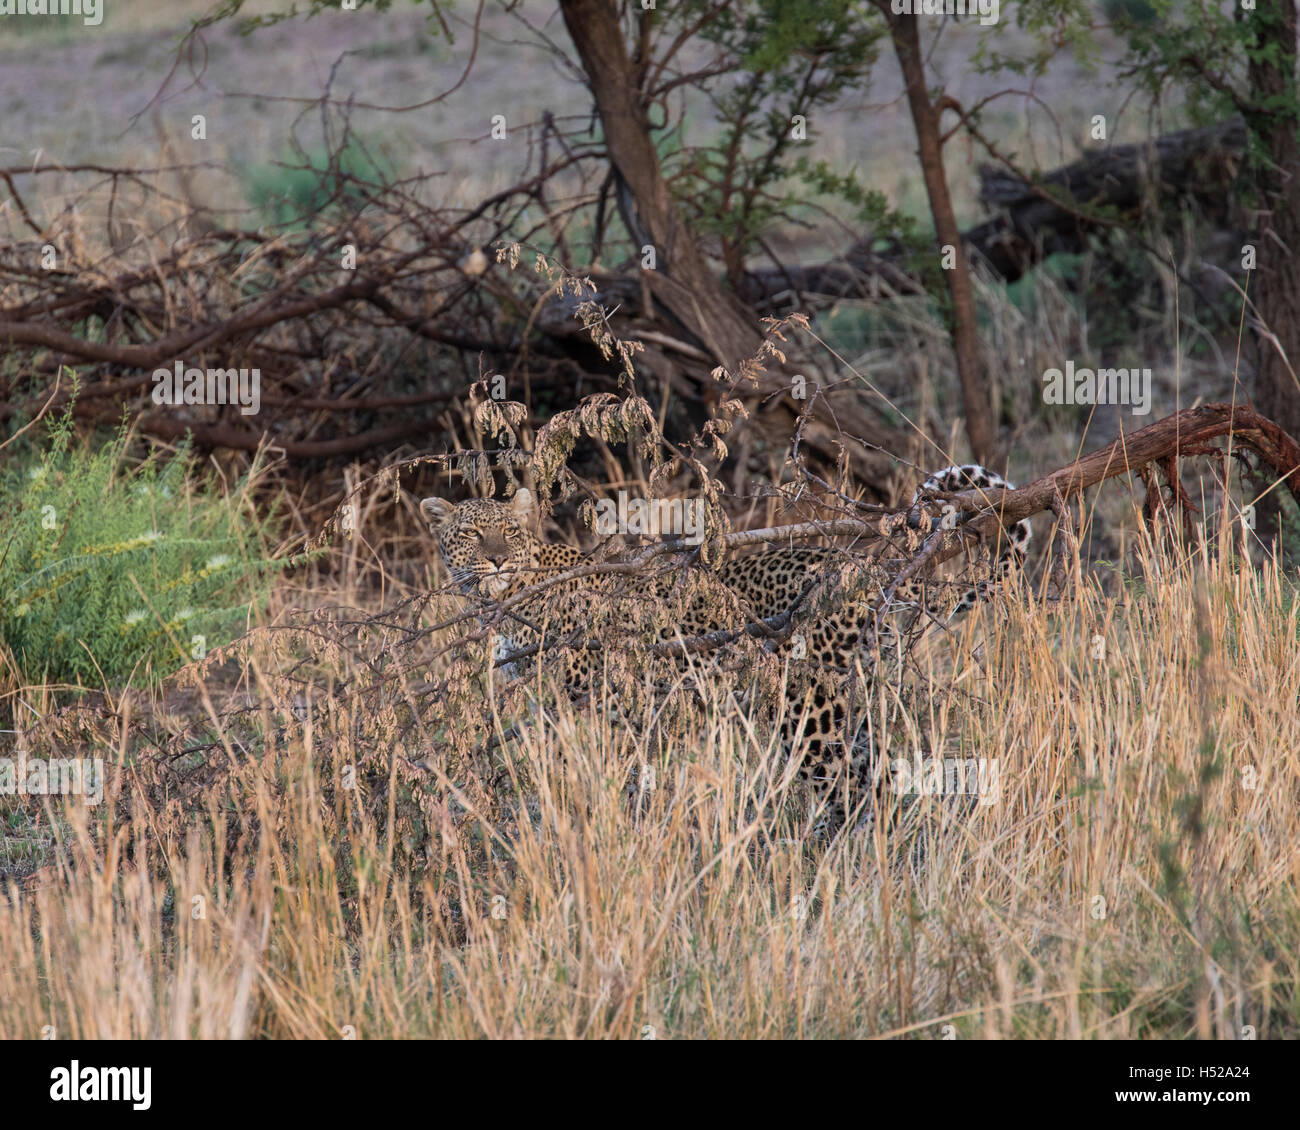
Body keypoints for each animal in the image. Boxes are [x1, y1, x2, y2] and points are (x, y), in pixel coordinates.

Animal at [421, 463, 1030, 830]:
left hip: (806, 711)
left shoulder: (583, 707)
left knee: (850, 784)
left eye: (508, 532)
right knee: (877, 774)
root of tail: (862, 571)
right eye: (472, 535)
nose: (498, 560)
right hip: (845, 702)